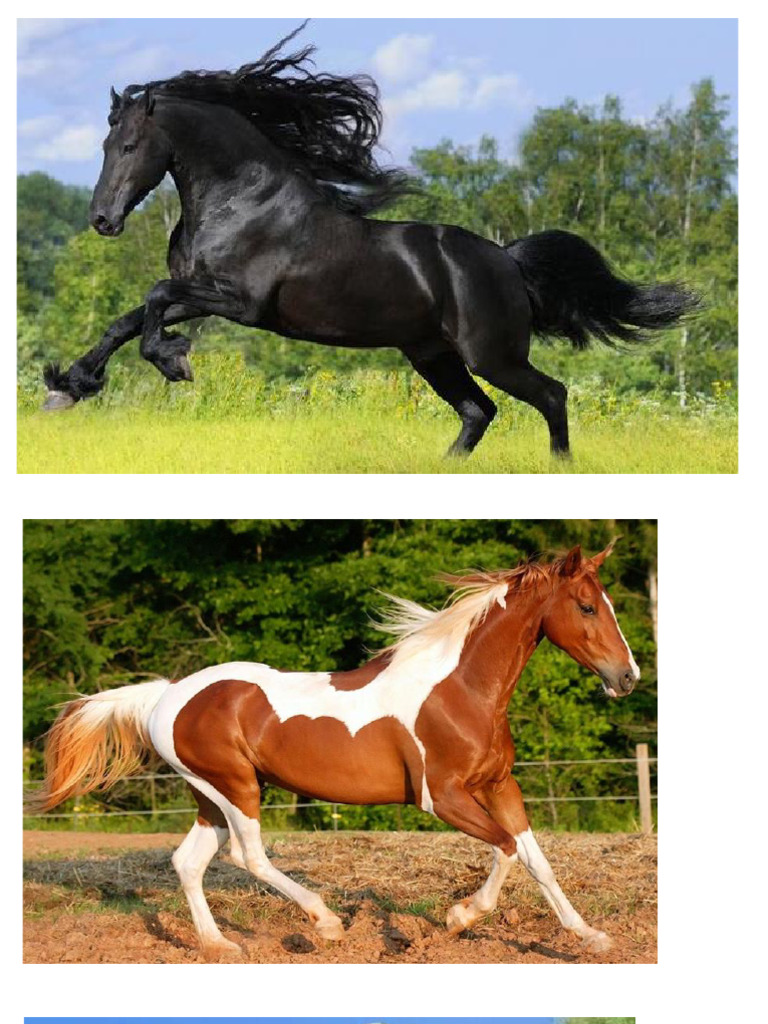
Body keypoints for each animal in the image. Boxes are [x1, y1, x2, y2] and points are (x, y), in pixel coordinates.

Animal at [31, 542, 640, 959]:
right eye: (587, 607)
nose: (627, 677)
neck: (460, 689)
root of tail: (167, 694)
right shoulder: (441, 797)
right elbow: (507, 850)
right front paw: (459, 917)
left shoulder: (499, 785)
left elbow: (536, 859)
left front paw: (590, 936)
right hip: (235, 788)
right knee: (248, 857)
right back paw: (324, 923)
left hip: (211, 796)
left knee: (189, 862)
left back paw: (220, 945)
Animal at [43, 24, 697, 459]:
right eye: (104, 145)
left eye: (130, 146)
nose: (103, 219)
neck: (242, 200)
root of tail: (507, 260)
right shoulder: (201, 291)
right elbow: (126, 320)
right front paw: (68, 387)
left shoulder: (241, 303)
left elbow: (153, 299)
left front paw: (173, 361)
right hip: (433, 355)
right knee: (477, 411)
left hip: (493, 354)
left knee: (551, 396)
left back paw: (558, 468)